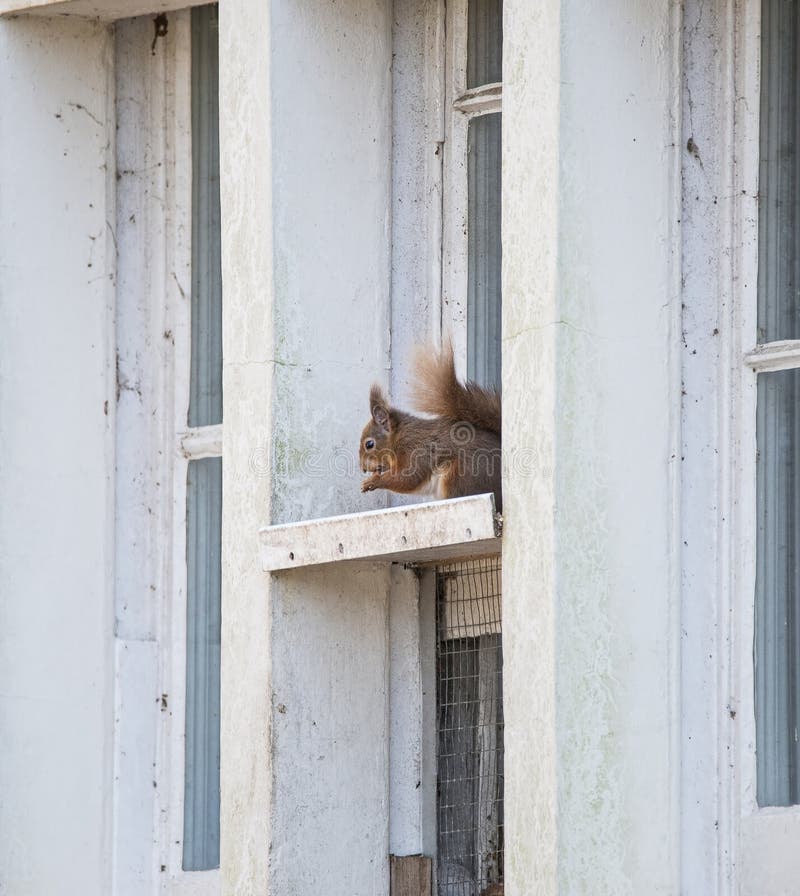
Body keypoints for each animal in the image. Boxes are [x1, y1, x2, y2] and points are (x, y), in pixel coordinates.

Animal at [359, 344, 502, 511]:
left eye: (369, 444)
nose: (363, 468)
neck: (399, 437)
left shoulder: (416, 450)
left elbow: (407, 478)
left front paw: (373, 481)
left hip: (461, 476)